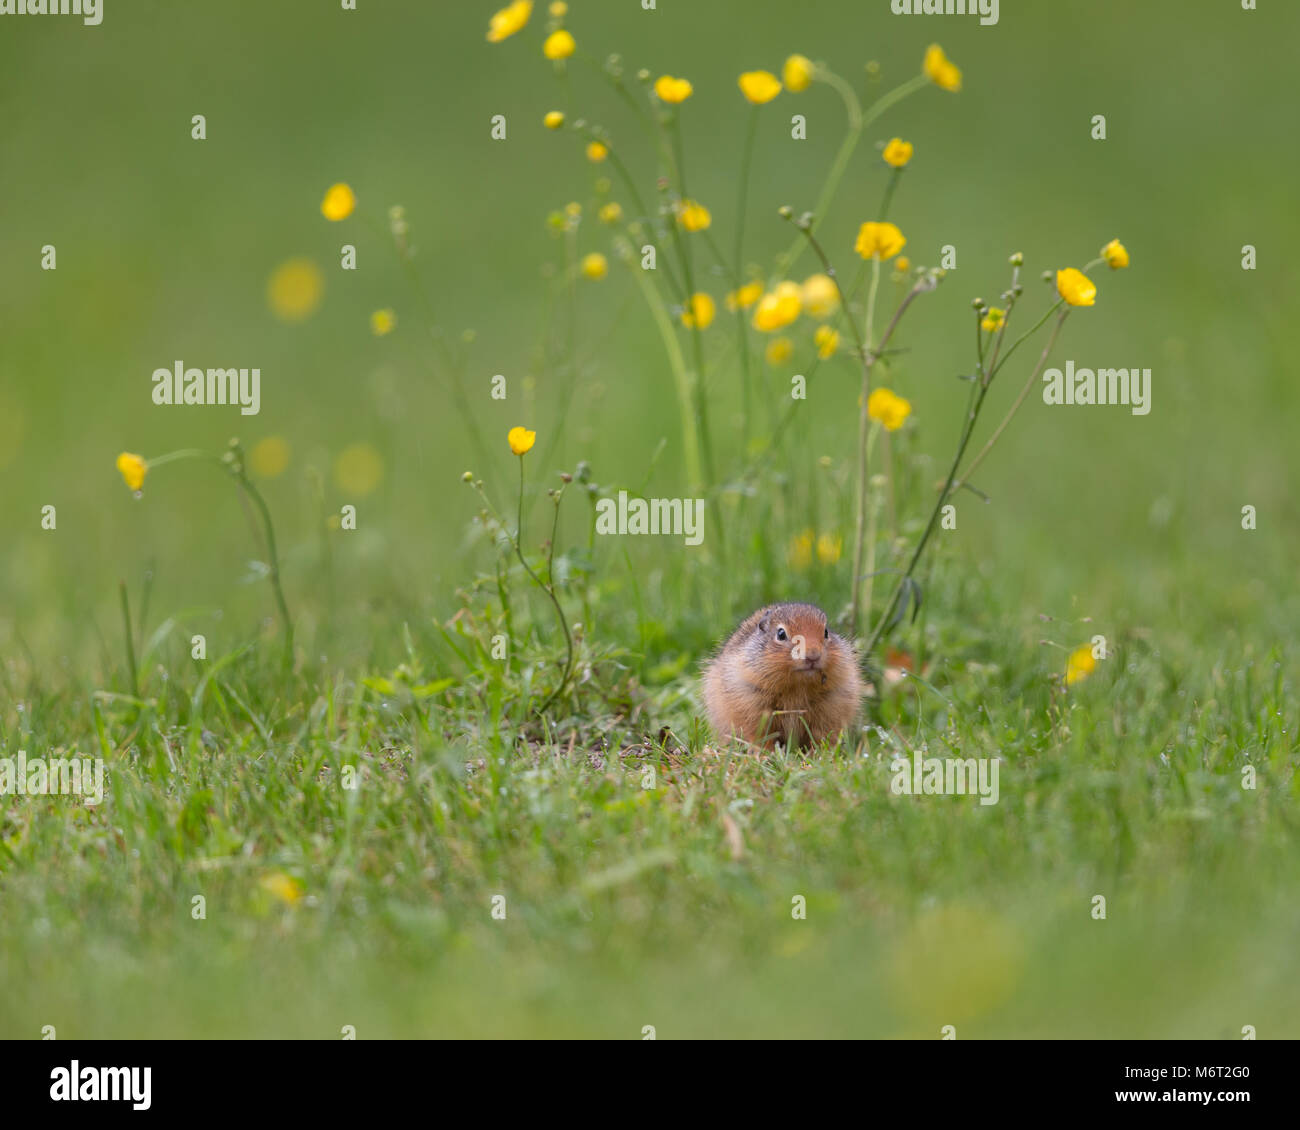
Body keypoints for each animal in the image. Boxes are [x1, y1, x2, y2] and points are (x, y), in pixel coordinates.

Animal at [702, 602, 863, 750]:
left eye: (826, 632)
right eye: (781, 634)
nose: (813, 655)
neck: (799, 686)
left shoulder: (830, 709)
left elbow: (822, 736)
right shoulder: (751, 704)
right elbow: (760, 734)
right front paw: (765, 753)